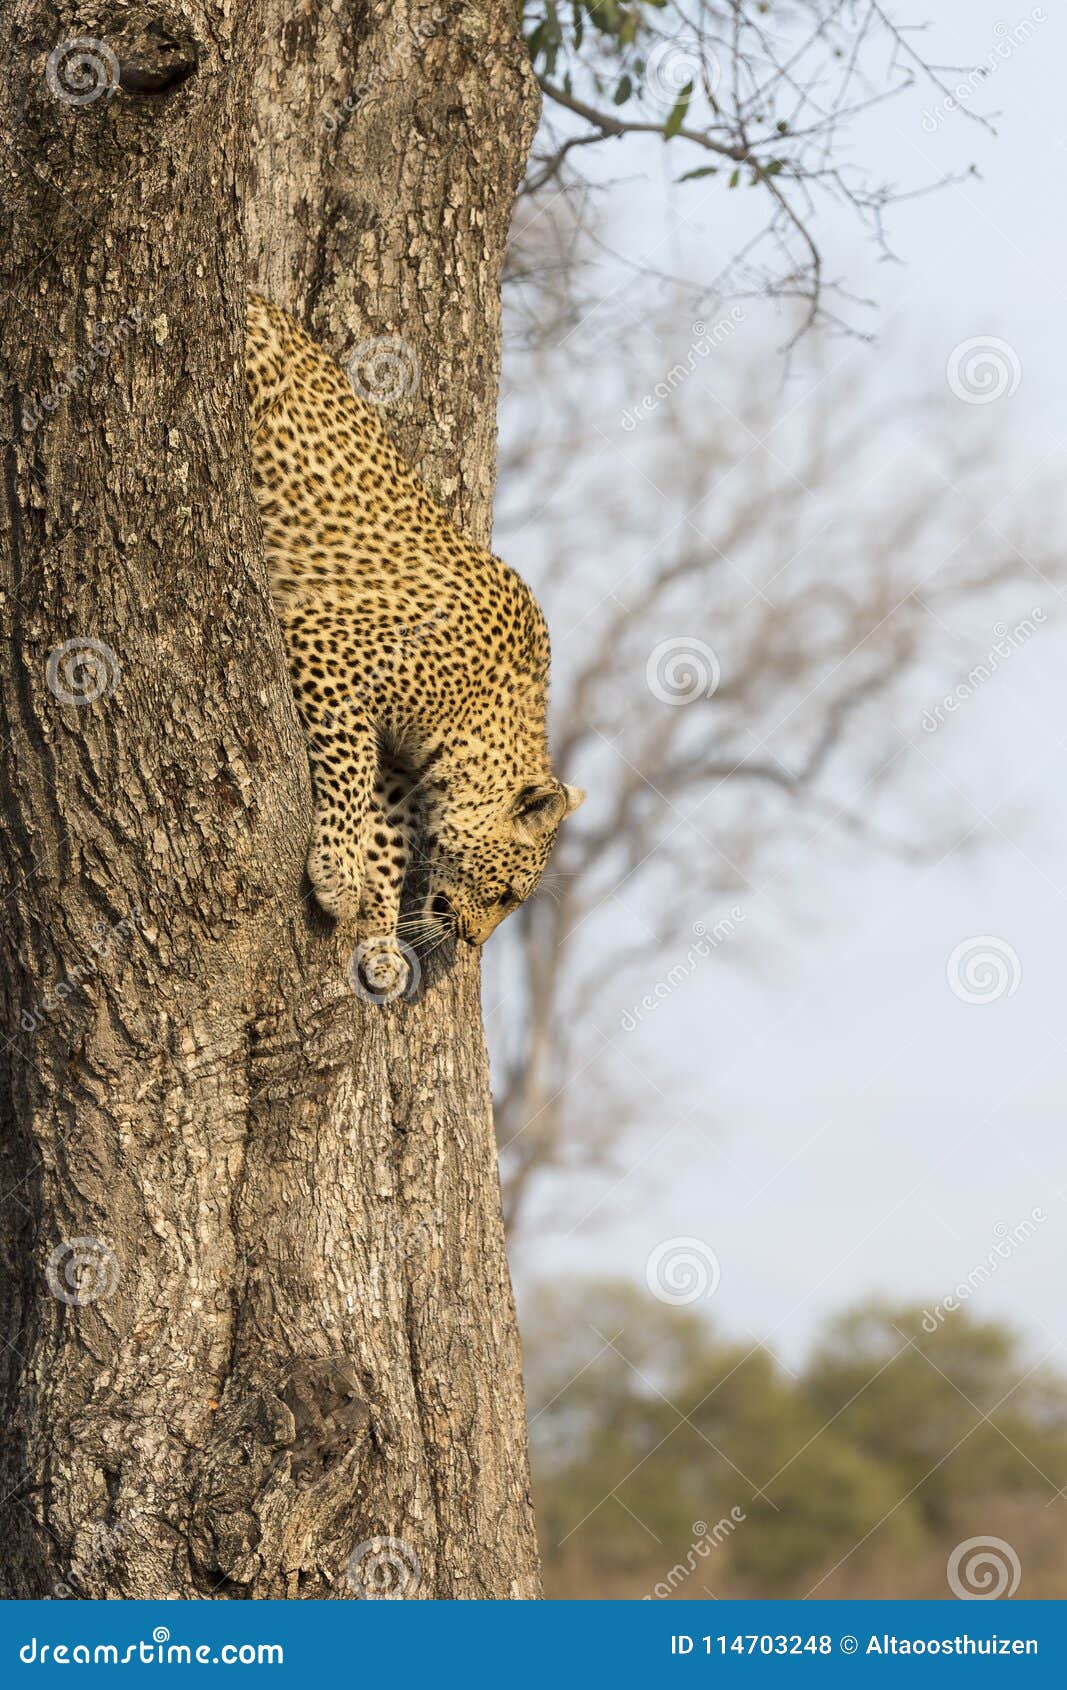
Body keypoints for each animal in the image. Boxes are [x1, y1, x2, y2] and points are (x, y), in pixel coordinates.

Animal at [246, 296, 584, 998]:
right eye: (509, 893)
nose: (474, 941)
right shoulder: (323, 643)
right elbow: (347, 773)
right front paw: (338, 875)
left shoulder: (401, 769)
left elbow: (390, 843)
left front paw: (378, 942)